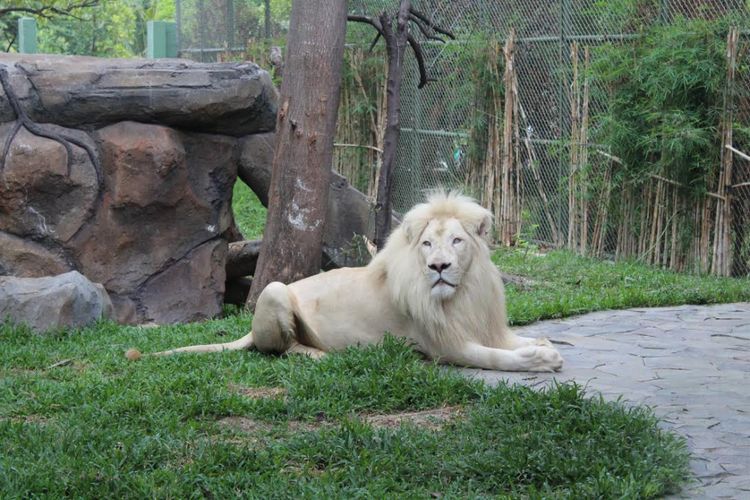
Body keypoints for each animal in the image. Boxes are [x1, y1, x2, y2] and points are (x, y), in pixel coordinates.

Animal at [137, 191, 564, 372]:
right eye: (427, 243)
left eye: (457, 241)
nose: (439, 266)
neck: (461, 295)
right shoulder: (442, 346)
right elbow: (494, 357)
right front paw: (539, 359)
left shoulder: (482, 324)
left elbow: (511, 341)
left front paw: (541, 344)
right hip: (275, 291)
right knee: (280, 349)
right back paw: (322, 354)